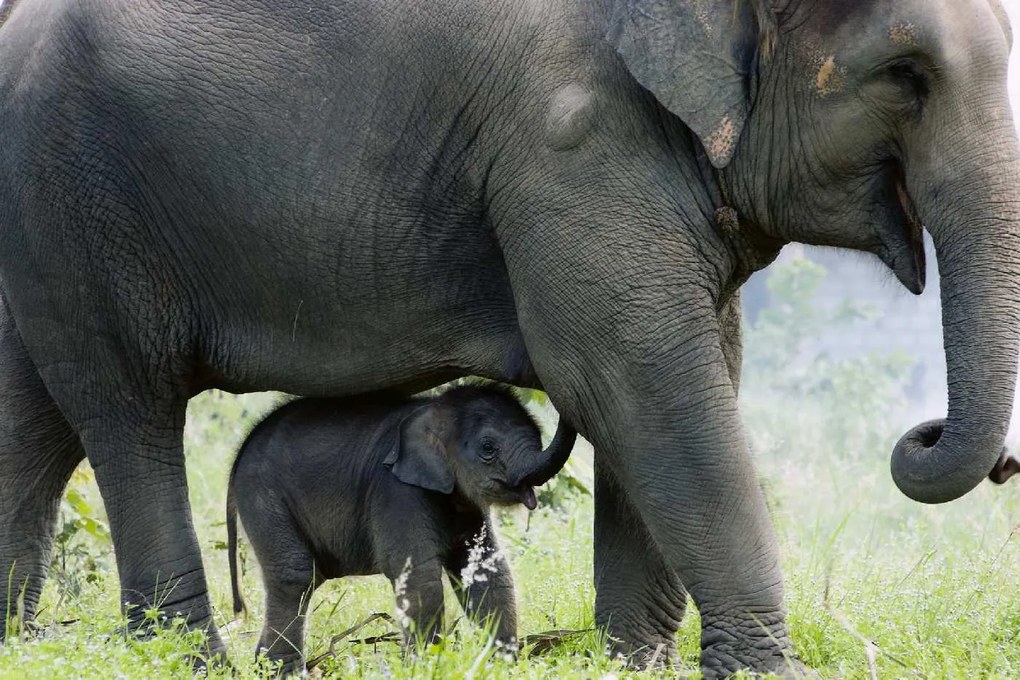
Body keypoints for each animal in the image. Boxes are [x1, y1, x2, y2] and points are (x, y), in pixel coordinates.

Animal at [225, 385, 575, 672]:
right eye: (488, 448)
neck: (431, 408)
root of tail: (240, 451)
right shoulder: (395, 491)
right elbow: (418, 575)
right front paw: (426, 667)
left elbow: (486, 573)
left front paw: (501, 666)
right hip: (263, 496)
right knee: (296, 575)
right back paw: (280, 672)